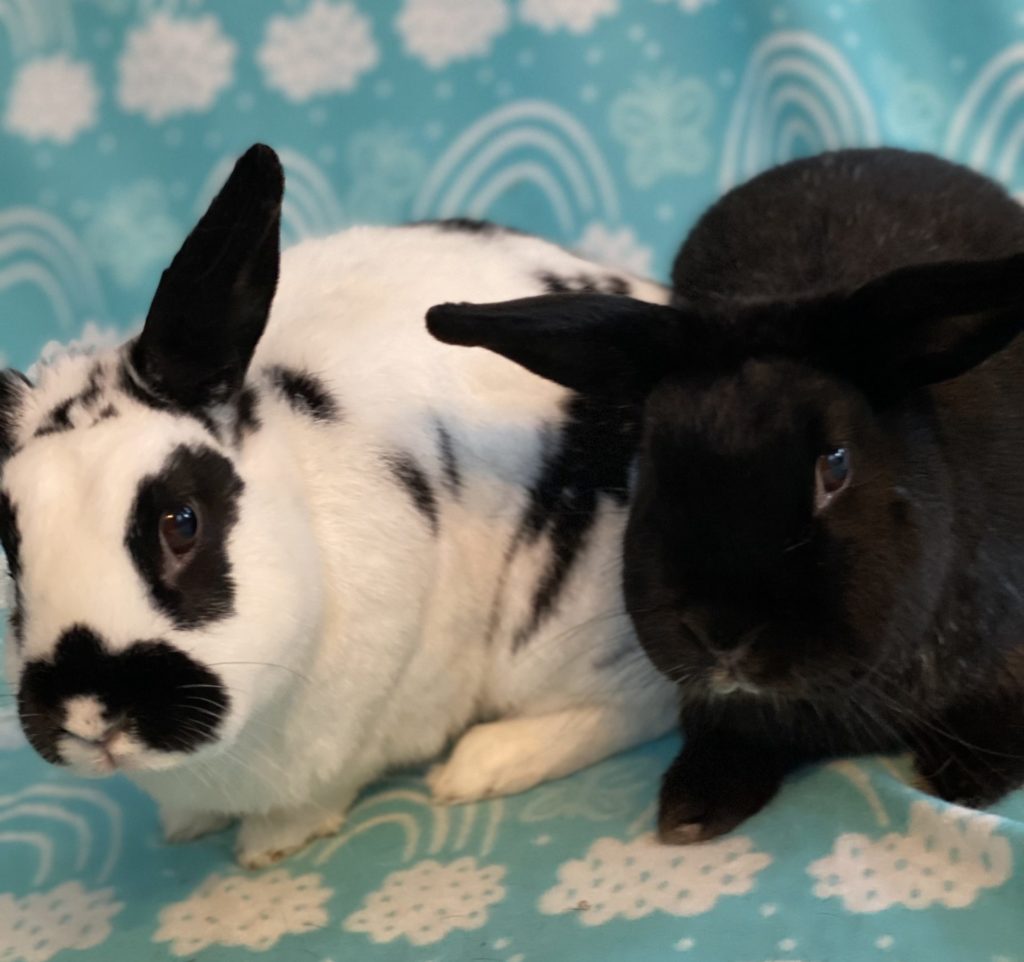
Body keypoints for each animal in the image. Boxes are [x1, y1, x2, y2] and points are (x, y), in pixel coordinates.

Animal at [2, 144, 678, 869]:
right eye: (11, 553)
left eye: (182, 522)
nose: (87, 716)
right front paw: (186, 823)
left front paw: (269, 845)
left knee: (637, 704)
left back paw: (481, 766)